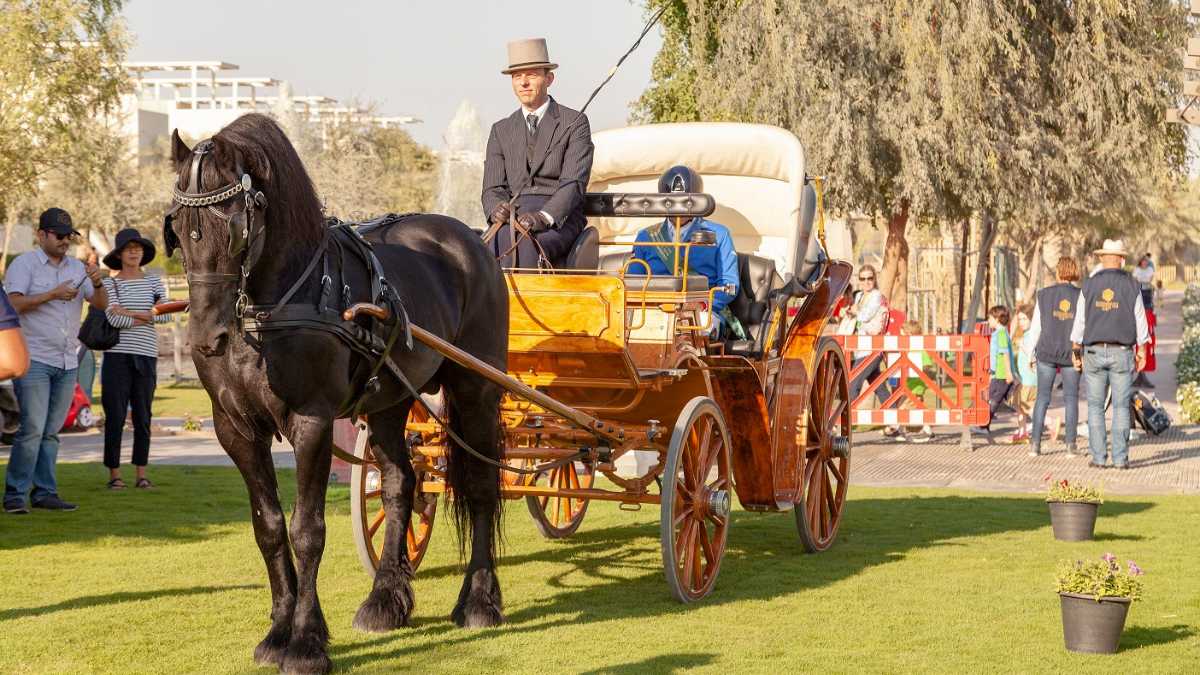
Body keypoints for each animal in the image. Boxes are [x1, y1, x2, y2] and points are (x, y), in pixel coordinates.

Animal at [164, 113, 508, 674]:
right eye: (175, 226)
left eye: (235, 226)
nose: (205, 336)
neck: (268, 310)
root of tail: (472, 238)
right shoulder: (234, 429)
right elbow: (268, 527)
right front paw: (278, 632)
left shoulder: (312, 422)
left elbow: (307, 529)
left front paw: (305, 642)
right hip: (389, 399)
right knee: (399, 484)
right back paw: (385, 600)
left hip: (475, 388)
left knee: (479, 485)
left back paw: (478, 600)